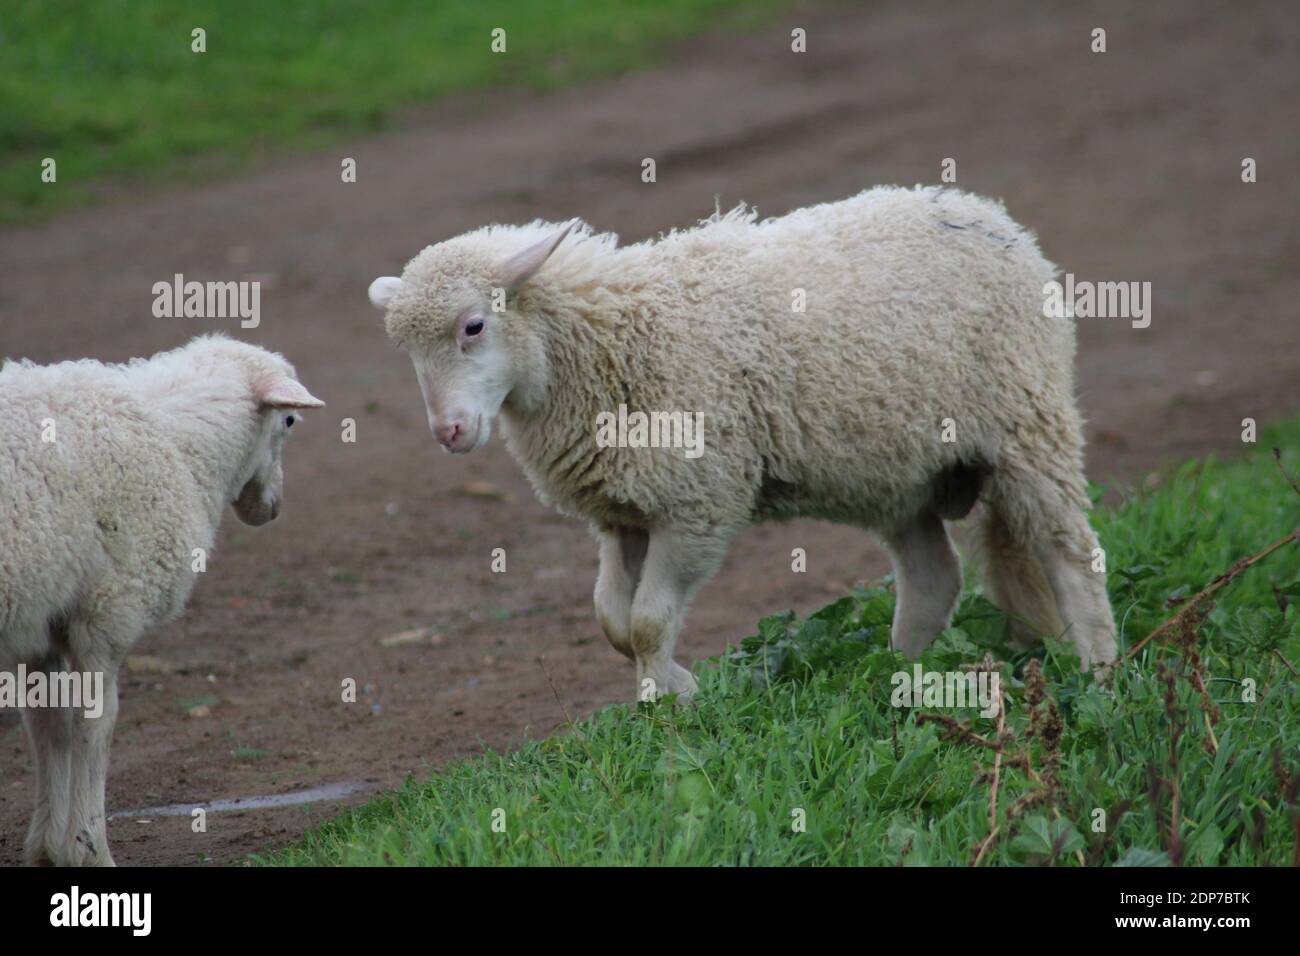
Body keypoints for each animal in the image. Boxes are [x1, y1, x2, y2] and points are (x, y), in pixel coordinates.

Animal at [0, 334, 323, 865]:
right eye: (289, 422)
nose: (272, 508)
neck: (177, 444)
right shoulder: (107, 611)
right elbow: (94, 725)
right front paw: (89, 848)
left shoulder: (41, 620)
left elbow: (47, 725)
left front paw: (46, 848)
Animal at [369, 185, 1118, 702]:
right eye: (404, 350)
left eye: (473, 326)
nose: (448, 432)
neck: (612, 338)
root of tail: (995, 216)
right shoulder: (621, 512)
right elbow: (612, 621)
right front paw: (673, 686)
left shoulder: (697, 502)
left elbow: (646, 622)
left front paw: (665, 705)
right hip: (898, 475)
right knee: (934, 577)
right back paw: (898, 668)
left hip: (1027, 419)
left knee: (1071, 551)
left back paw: (1099, 671)